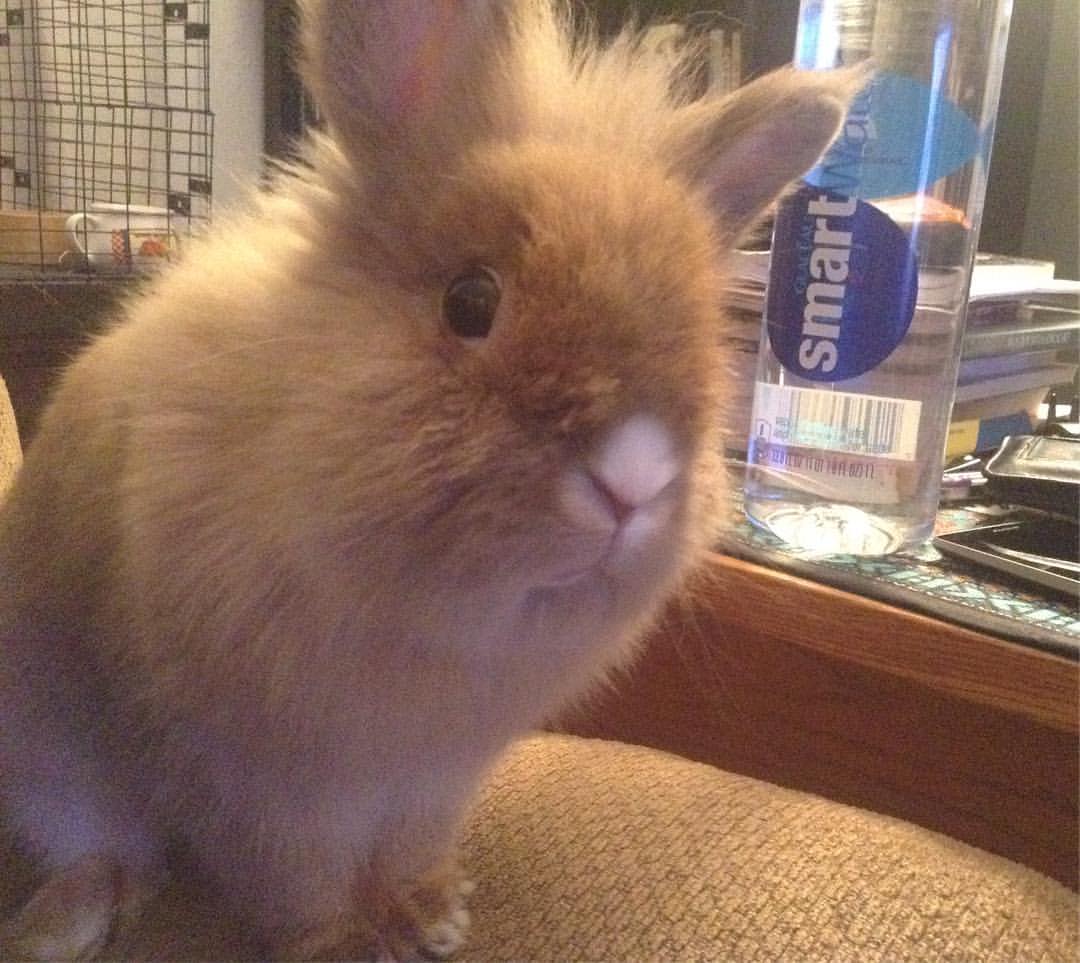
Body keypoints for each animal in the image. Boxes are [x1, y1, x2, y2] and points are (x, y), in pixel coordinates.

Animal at [0, 1, 858, 959]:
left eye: (706, 342)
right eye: (470, 301)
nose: (633, 483)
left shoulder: (436, 778)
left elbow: (408, 849)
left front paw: (433, 914)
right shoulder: (258, 783)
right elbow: (296, 882)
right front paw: (342, 944)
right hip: (46, 758)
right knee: (110, 852)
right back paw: (55, 922)